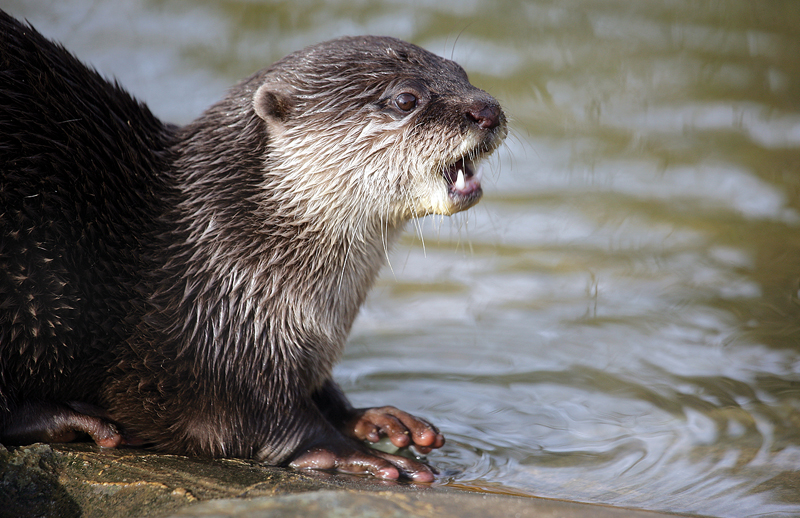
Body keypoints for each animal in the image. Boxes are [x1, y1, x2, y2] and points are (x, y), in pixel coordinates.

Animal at [0, 11, 506, 481]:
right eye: (406, 99)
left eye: (461, 72)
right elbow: (247, 420)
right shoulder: (202, 348)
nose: (488, 109)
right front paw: (350, 450)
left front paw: (372, 418)